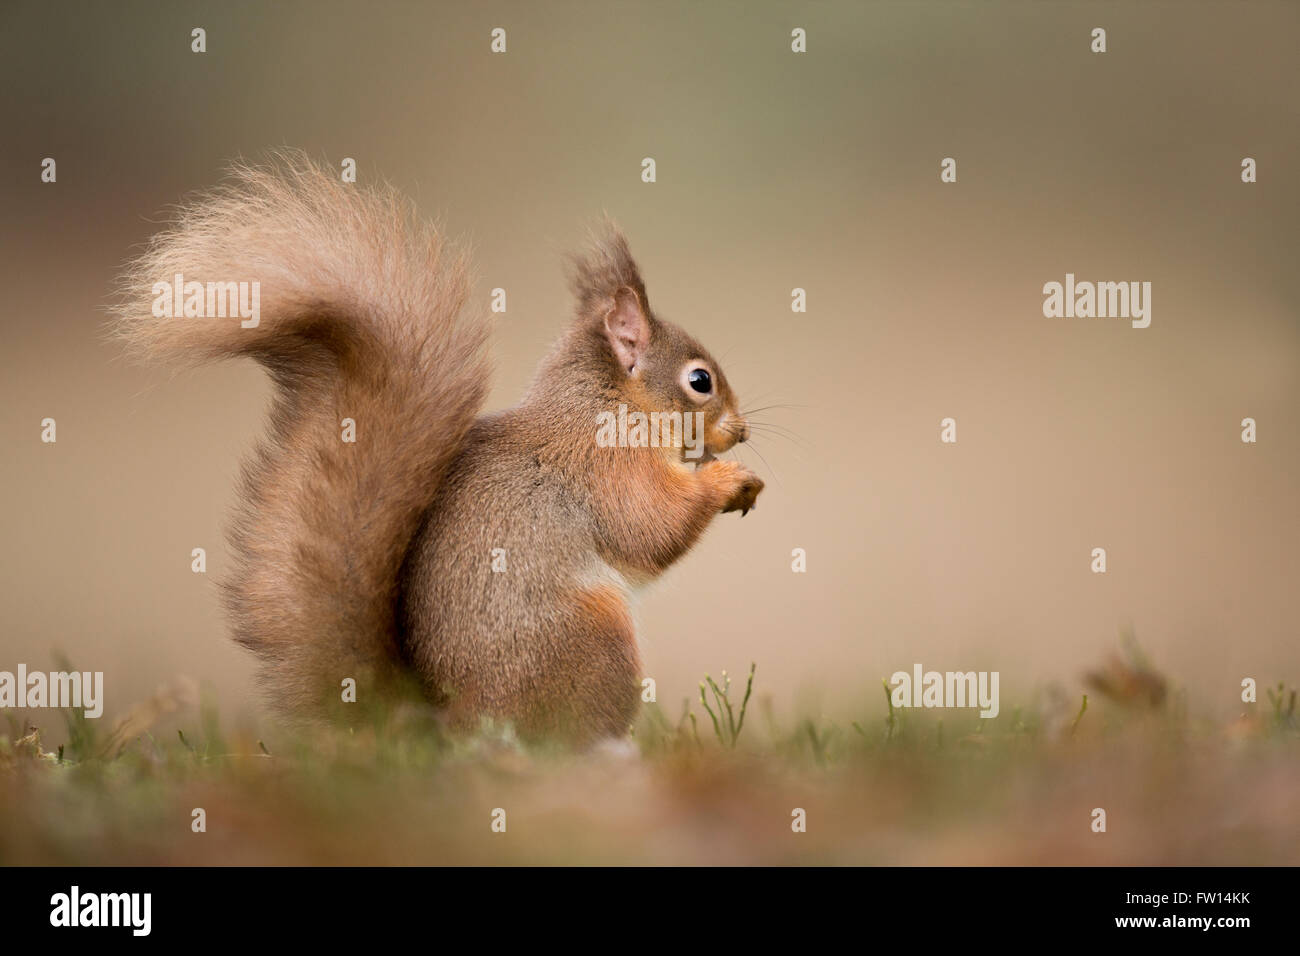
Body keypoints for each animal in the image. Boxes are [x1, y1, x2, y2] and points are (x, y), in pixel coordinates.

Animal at [114, 153, 763, 745]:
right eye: (700, 381)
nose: (741, 432)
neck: (607, 405)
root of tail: (451, 727)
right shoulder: (605, 467)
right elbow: (650, 527)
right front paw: (728, 481)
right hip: (594, 644)